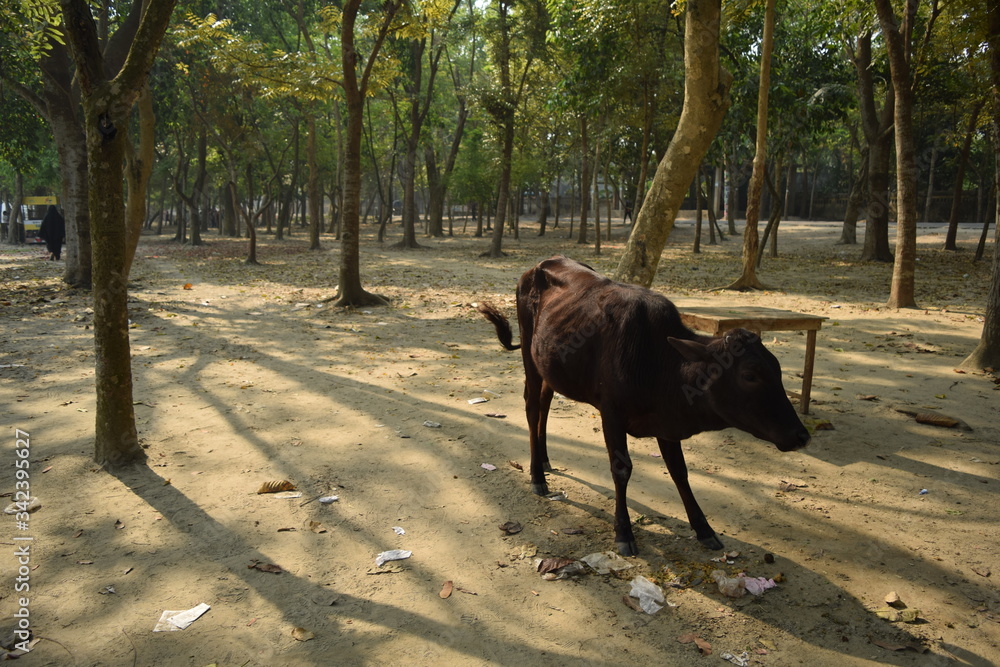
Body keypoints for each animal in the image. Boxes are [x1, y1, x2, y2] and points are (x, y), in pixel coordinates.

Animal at [478, 256, 810, 556]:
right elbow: (622, 470)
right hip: (530, 357)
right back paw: (537, 476)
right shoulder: (611, 413)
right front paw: (623, 532)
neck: (658, 362)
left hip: (551, 367)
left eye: (778, 369)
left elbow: (679, 471)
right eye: (750, 375)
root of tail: (540, 265)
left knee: (546, 404)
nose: (801, 436)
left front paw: (704, 529)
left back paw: (546, 460)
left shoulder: (666, 424)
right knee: (533, 408)